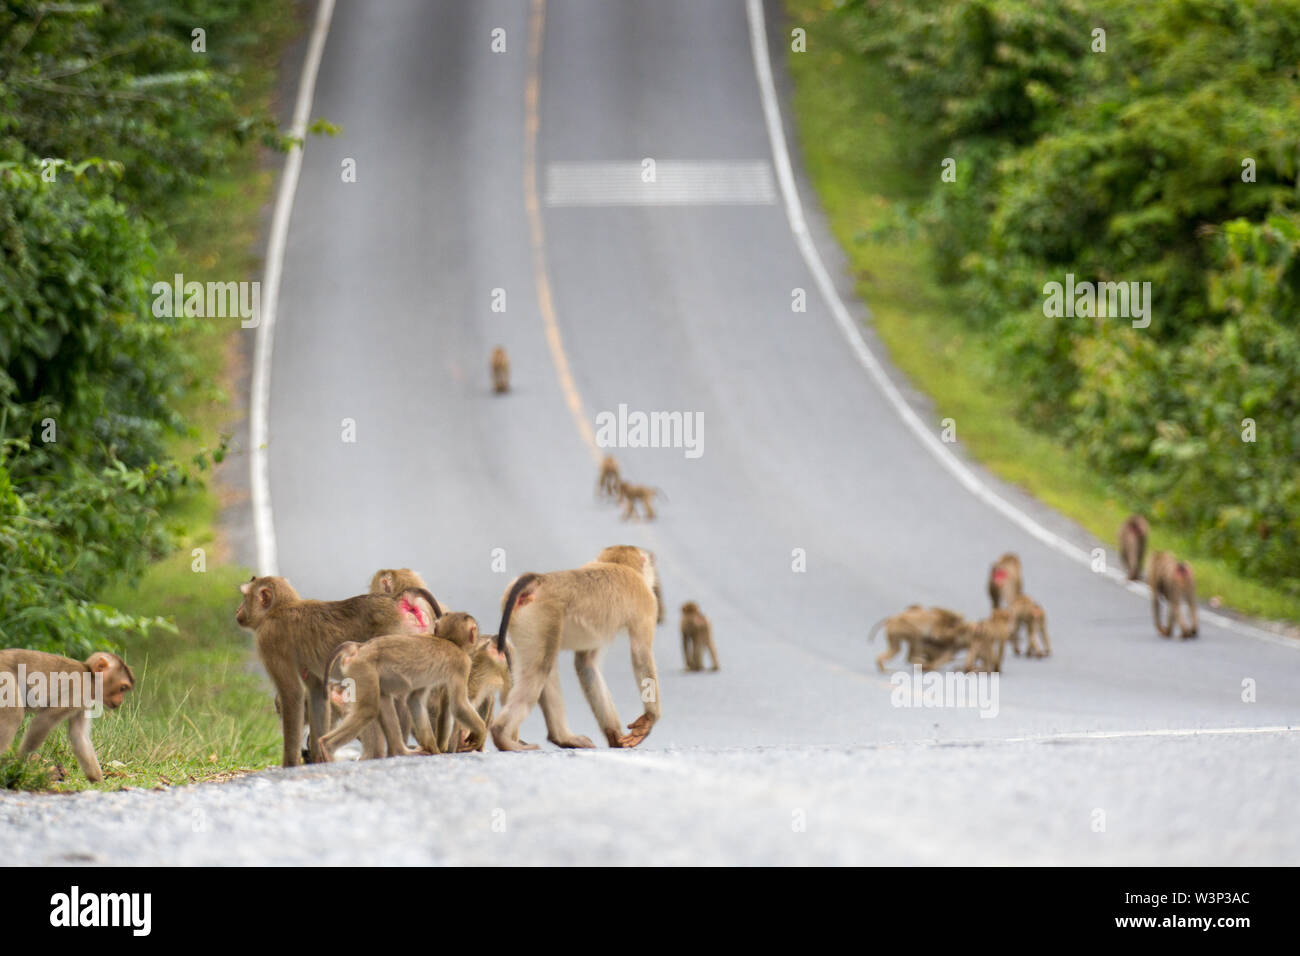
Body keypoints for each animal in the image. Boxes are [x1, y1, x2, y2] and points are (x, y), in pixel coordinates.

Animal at [0, 649, 135, 783]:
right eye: (122, 688)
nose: (121, 700)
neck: (90, 677)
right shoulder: (78, 690)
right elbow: (43, 721)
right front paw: (18, 764)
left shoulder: (83, 701)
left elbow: (78, 734)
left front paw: (98, 781)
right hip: (4, 676)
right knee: (14, 714)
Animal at [235, 576, 443, 767]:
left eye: (245, 597)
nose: (238, 610)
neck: (281, 607)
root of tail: (397, 600)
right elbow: (317, 692)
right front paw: (317, 758)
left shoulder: (269, 639)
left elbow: (292, 693)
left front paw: (289, 765)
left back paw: (388, 752)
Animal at [318, 631, 484, 759]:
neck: (449, 641)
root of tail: (359, 647)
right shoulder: (462, 663)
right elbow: (459, 705)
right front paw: (480, 734)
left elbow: (414, 701)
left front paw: (433, 748)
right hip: (363, 668)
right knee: (368, 710)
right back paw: (326, 746)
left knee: (383, 699)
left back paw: (401, 751)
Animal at [491, 545, 661, 752]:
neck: (618, 563)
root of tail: (539, 580)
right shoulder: (648, 604)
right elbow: (641, 654)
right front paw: (649, 720)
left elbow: (586, 664)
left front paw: (613, 734)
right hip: (542, 615)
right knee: (539, 670)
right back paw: (502, 736)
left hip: (527, 621)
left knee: (545, 667)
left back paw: (563, 738)